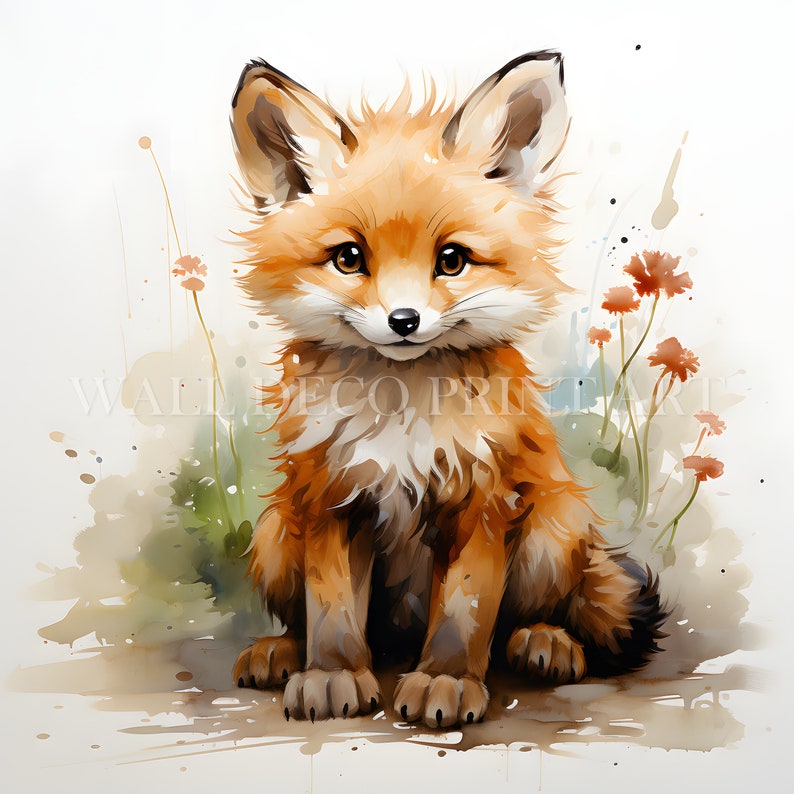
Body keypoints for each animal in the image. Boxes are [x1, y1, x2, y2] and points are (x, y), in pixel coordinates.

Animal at [230, 51, 666, 729]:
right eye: (349, 258)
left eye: (453, 260)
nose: (403, 321)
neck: (400, 415)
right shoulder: (331, 497)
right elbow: (330, 610)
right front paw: (331, 674)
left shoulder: (482, 501)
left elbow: (466, 612)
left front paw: (446, 681)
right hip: (277, 533)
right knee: (313, 621)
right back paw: (282, 651)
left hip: (553, 531)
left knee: (542, 613)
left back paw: (545, 640)